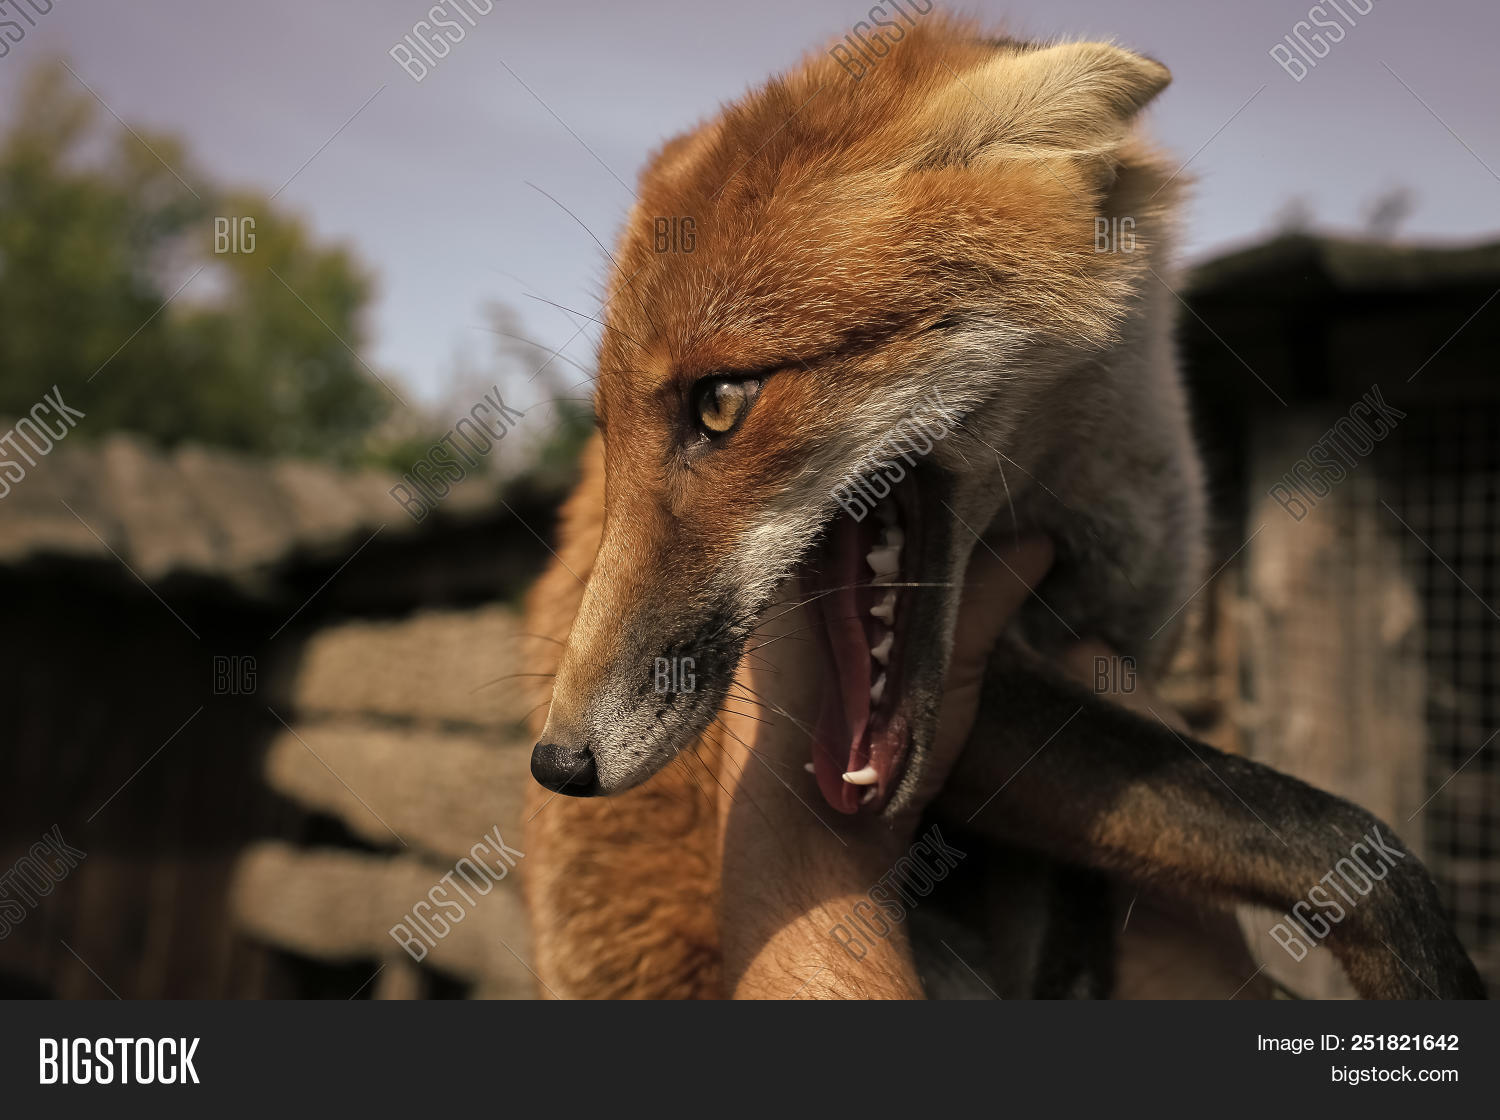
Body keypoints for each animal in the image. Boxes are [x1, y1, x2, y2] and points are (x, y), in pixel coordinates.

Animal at [519, 17, 1485, 999]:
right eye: (607, 434)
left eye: (719, 403)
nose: (557, 762)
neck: (1074, 529)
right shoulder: (977, 717)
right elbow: (1333, 837)